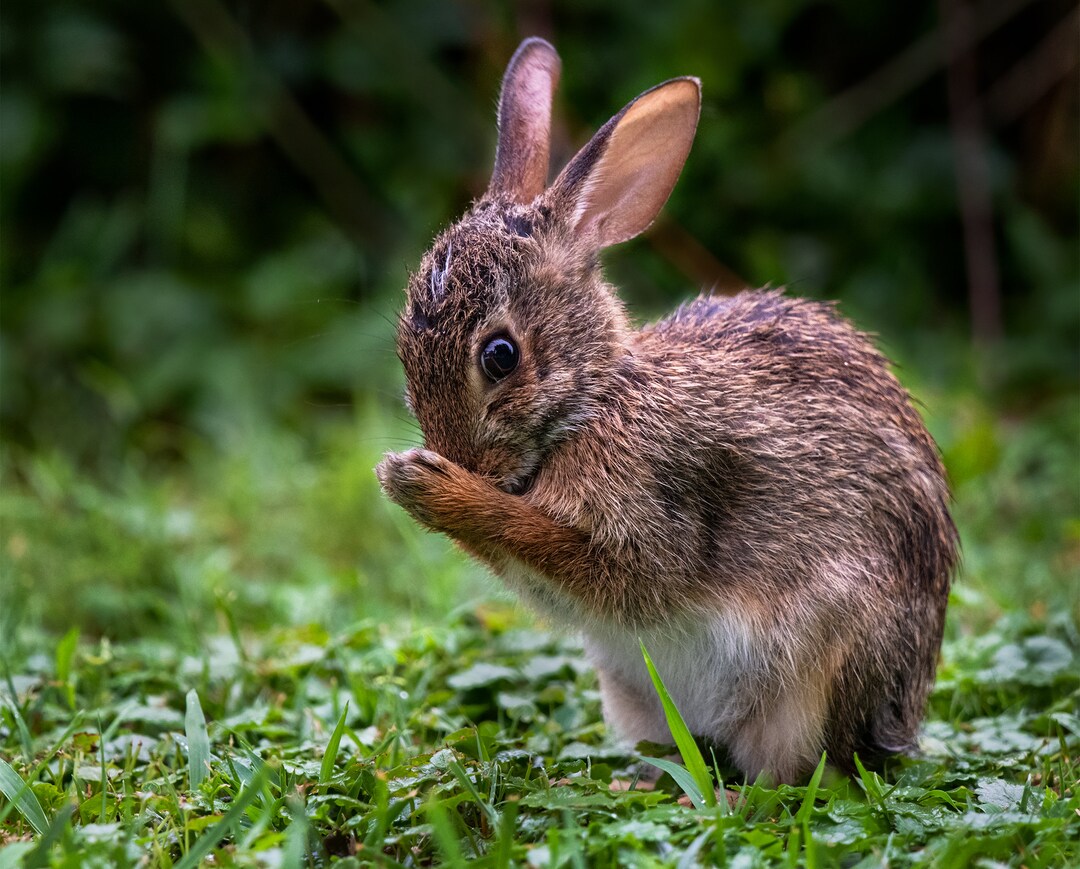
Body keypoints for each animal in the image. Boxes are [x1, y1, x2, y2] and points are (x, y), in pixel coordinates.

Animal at [376, 37, 958, 784]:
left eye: (500, 355)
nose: (461, 458)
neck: (594, 401)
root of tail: (898, 721)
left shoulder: (660, 517)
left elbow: (560, 548)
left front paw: (423, 483)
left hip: (821, 668)